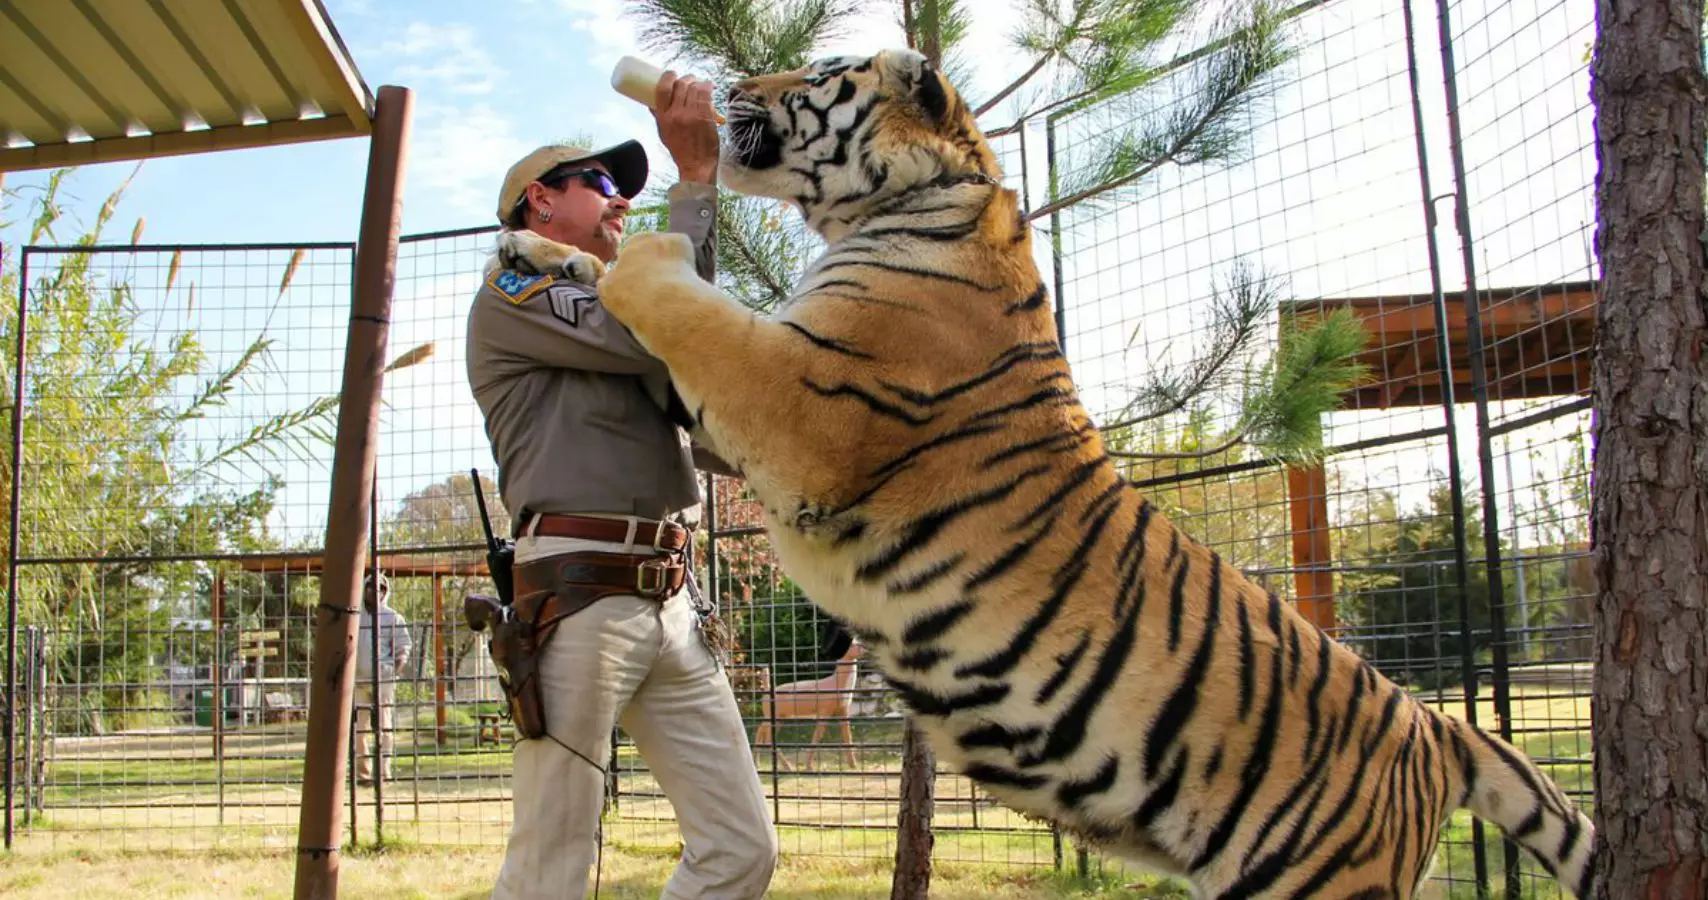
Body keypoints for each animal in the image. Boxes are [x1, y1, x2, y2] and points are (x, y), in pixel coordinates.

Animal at [502, 51, 1598, 900]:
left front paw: (629, 246)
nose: (726, 86)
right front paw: (531, 245)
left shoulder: (797, 401)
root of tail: (1435, 727)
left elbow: (675, 294)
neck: (907, 202)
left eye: (813, 74)